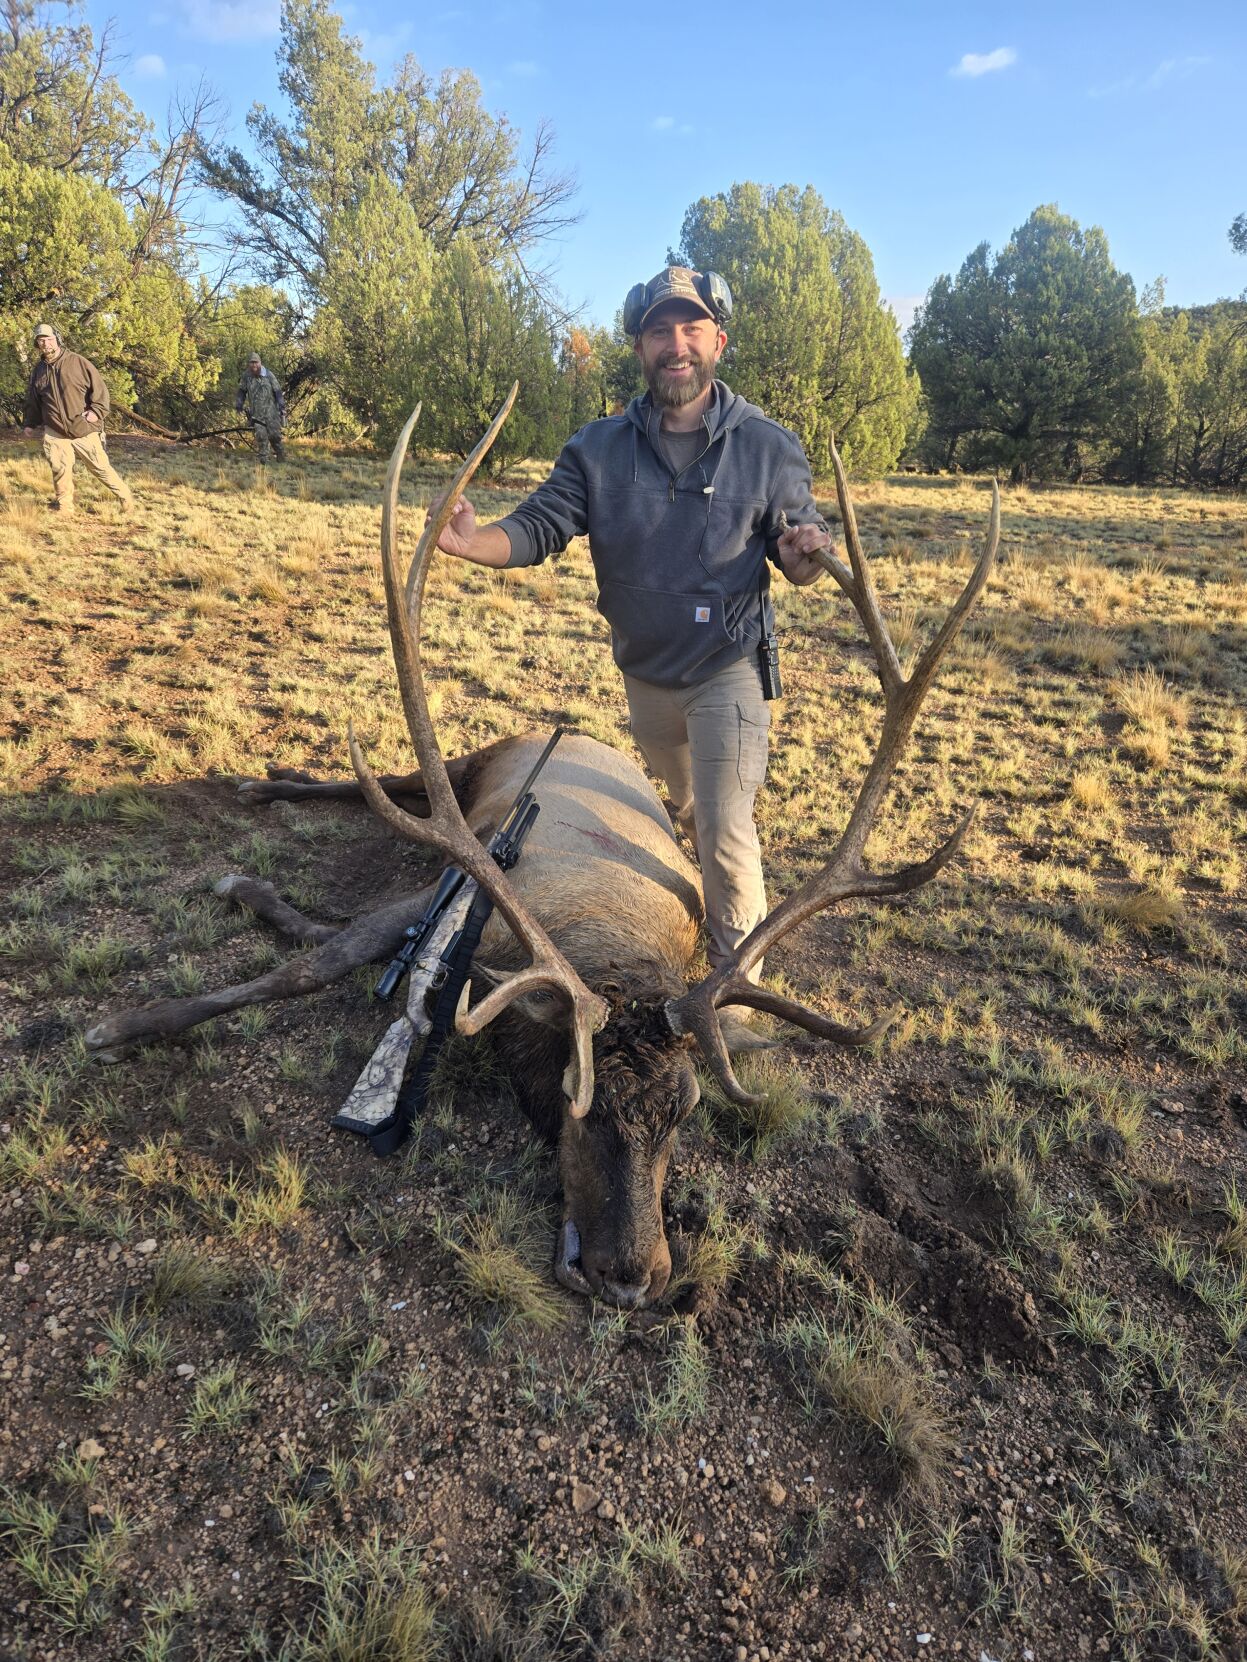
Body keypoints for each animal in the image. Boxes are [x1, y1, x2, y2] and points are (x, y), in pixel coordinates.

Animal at [85, 385, 999, 1309]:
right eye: (571, 1096)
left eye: (687, 1111)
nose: (631, 1278)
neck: (608, 943)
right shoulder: (460, 895)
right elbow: (313, 962)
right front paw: (125, 1022)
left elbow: (327, 942)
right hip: (468, 762)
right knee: (382, 786)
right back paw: (262, 786)